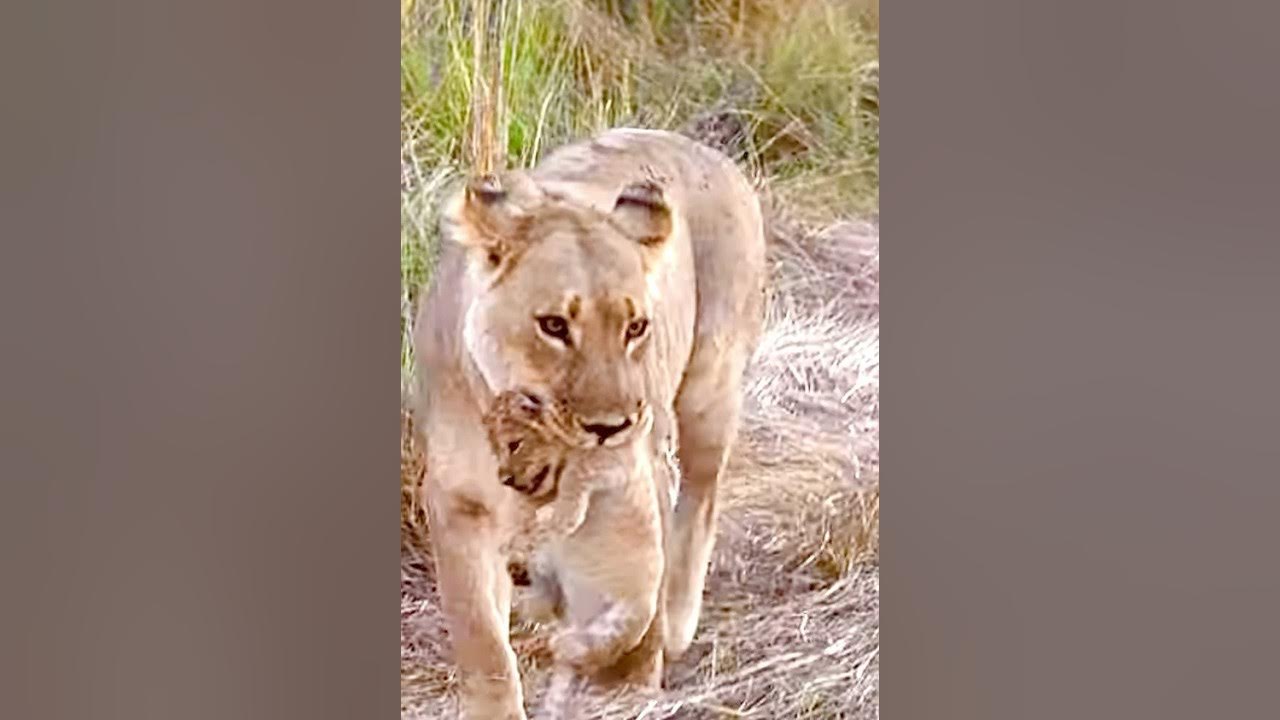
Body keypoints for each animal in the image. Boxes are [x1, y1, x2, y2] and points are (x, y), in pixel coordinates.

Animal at [483, 388, 670, 719]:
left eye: (514, 444)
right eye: (494, 449)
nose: (504, 479)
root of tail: (579, 621)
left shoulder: (600, 471)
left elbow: (564, 500)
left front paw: (537, 528)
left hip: (622, 621)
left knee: (588, 652)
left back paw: (558, 643)